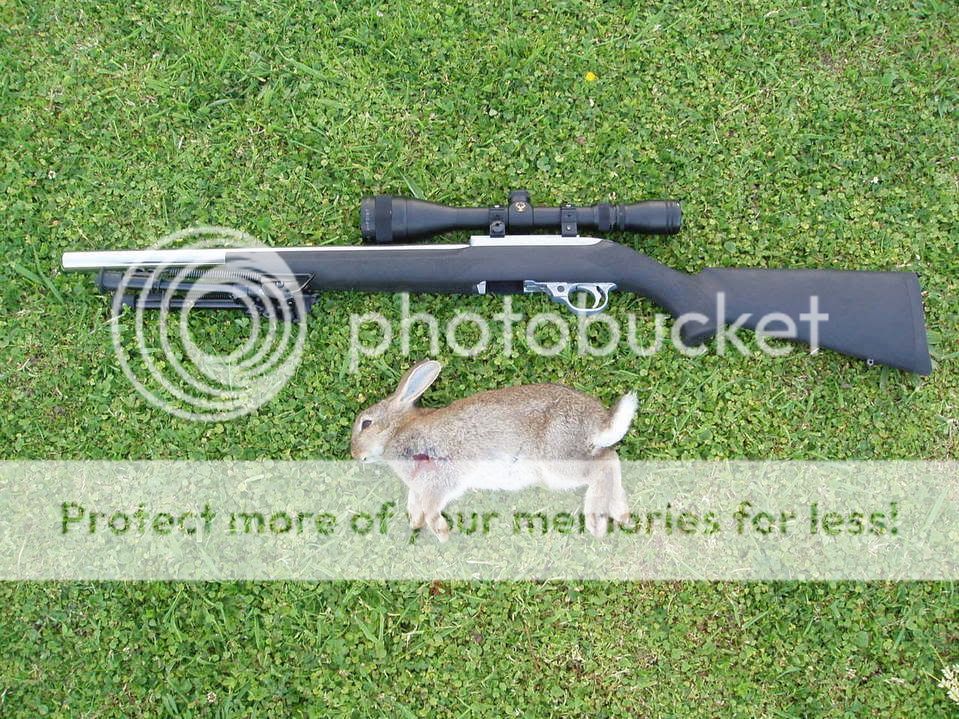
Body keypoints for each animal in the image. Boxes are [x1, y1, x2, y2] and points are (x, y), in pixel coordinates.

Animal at [350, 359, 637, 541]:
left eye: (366, 423)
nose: (354, 454)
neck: (397, 433)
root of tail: (600, 423)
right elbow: (416, 500)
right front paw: (414, 521)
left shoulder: (441, 475)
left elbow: (432, 505)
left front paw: (442, 533)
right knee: (611, 459)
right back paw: (621, 514)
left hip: (556, 461)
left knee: (606, 462)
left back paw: (597, 521)